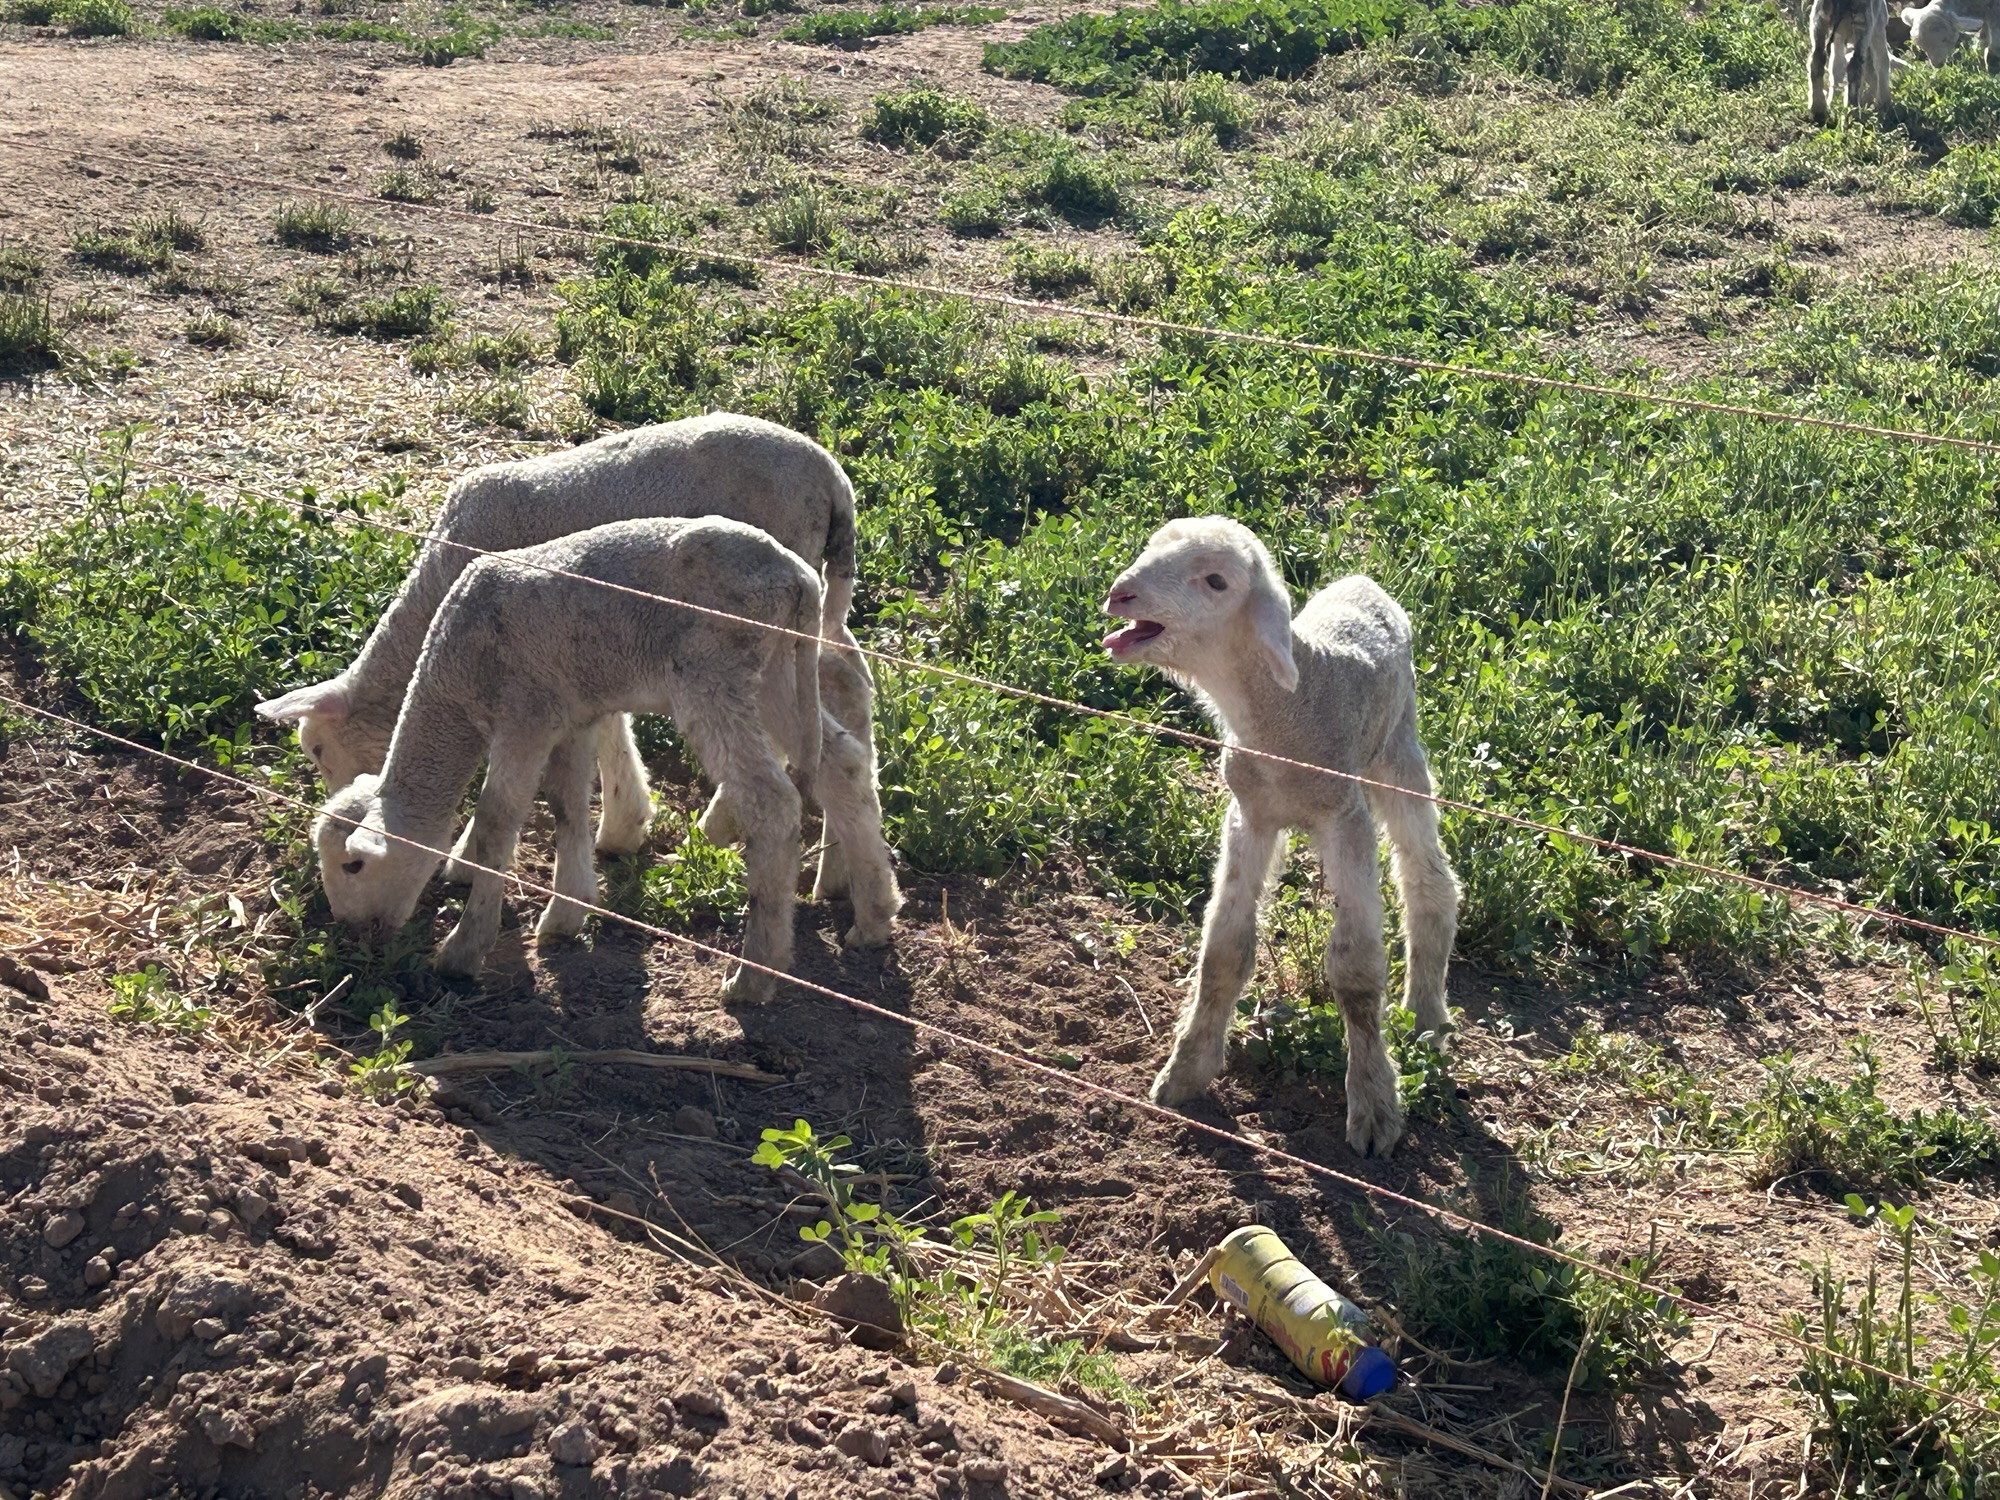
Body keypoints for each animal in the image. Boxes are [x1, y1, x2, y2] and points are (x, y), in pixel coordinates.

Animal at [257, 412, 881, 908]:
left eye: (318, 749)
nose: (347, 794)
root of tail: (834, 477)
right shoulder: (582, 642)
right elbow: (608, 724)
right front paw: (624, 824)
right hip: (813, 604)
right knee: (850, 680)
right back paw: (841, 874)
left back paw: (724, 827)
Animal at [313, 517, 839, 1001]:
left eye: (353, 866)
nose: (353, 932)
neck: (453, 688)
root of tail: (798, 576)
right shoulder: (573, 717)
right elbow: (567, 803)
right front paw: (569, 911)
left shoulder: (525, 716)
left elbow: (497, 820)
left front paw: (466, 947)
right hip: (776, 671)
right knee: (834, 759)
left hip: (712, 672)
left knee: (771, 802)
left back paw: (755, 973)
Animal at [1101, 517, 1459, 1157]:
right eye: (1151, 546)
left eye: (1216, 582)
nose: (1121, 595)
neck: (1286, 713)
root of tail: (1362, 581)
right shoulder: (1250, 814)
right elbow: (1224, 947)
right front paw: (1186, 1070)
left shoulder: (1346, 817)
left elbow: (1357, 971)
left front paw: (1375, 1105)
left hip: (1398, 747)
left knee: (1429, 883)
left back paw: (1426, 1019)